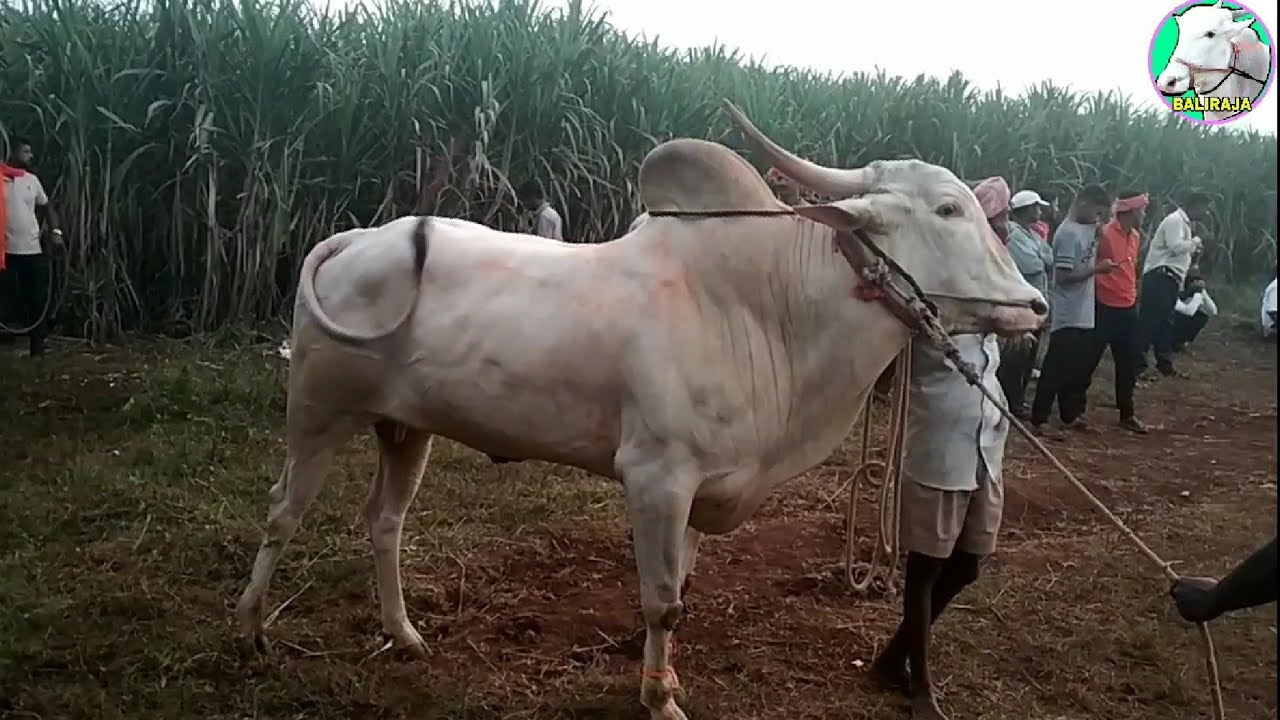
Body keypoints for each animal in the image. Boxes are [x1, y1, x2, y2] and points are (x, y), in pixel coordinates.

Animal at [234, 100, 1047, 720]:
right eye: (948, 208)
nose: (1035, 307)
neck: (772, 308)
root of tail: (359, 238)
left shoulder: (701, 490)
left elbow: (680, 589)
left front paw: (668, 679)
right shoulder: (658, 477)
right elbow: (662, 602)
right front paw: (659, 699)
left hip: (406, 429)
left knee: (385, 521)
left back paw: (402, 633)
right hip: (317, 413)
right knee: (281, 511)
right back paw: (249, 629)